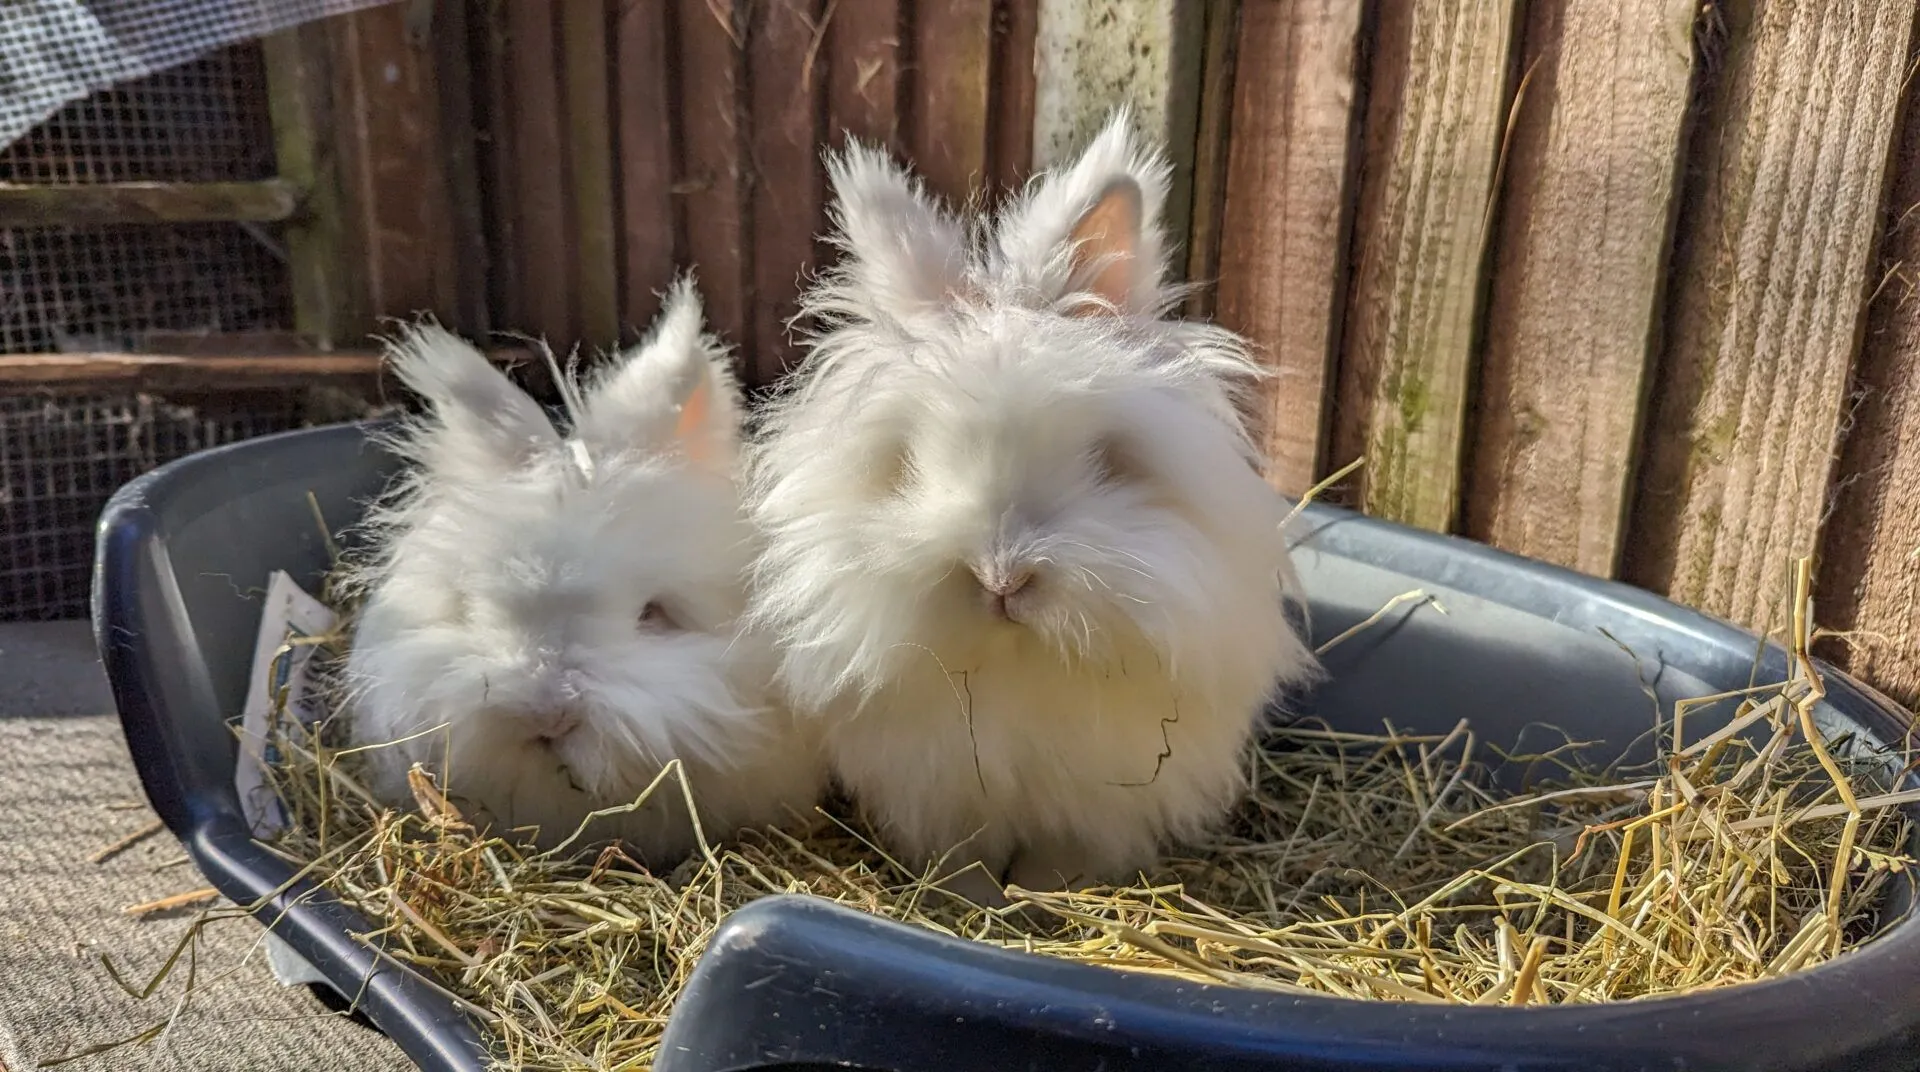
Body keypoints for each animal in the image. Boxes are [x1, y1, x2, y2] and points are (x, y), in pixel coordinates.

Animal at [744, 108, 1321, 904]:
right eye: (909, 462)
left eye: (1106, 459)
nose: (1001, 578)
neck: (1018, 667)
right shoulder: (947, 793)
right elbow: (967, 863)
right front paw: (971, 901)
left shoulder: (1098, 802)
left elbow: (1060, 862)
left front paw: (1048, 899)